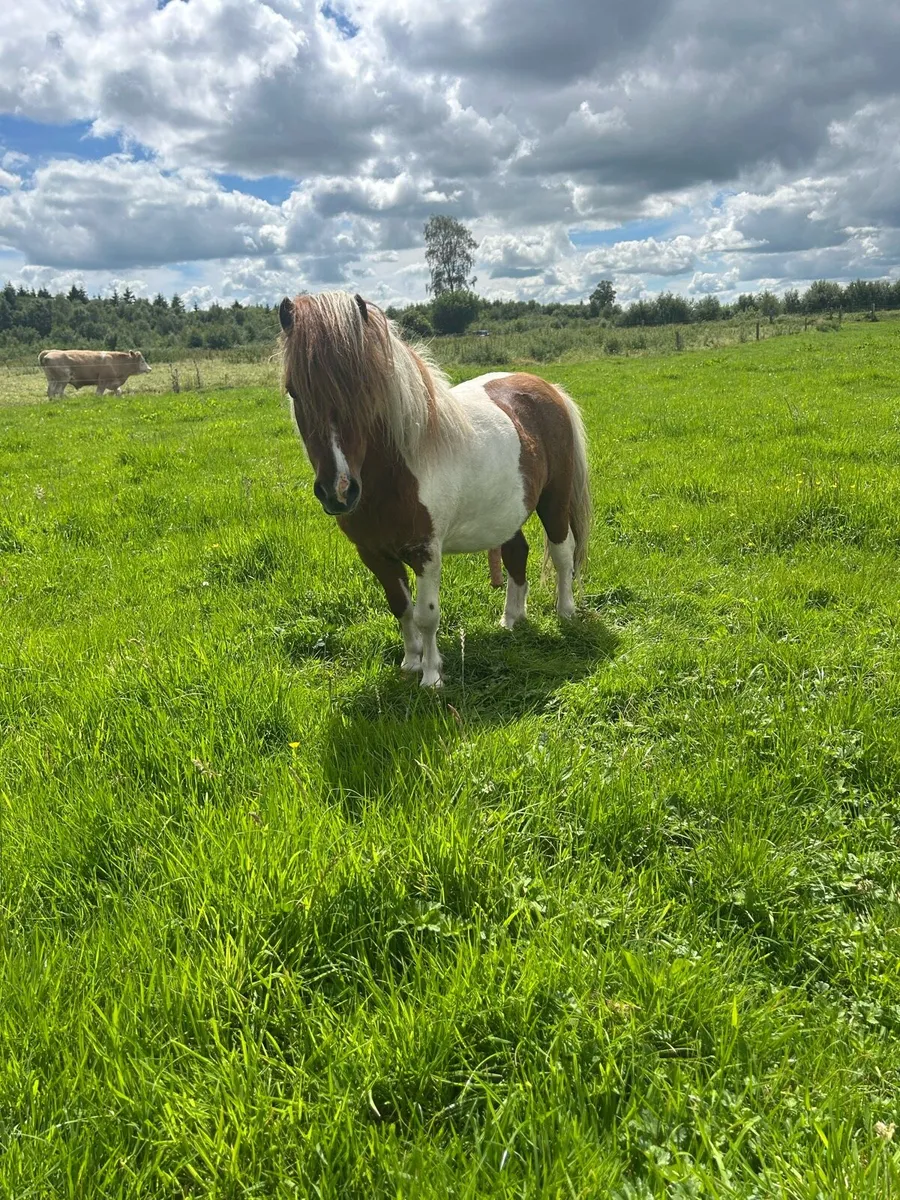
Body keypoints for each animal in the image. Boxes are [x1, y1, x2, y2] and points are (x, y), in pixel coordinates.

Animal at [279, 291, 592, 688]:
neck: (396, 472)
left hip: (555, 499)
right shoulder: (374, 554)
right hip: (507, 510)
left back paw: (565, 612)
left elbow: (426, 615)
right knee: (516, 552)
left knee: (563, 551)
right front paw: (411, 663)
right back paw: (511, 619)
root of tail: (549, 389)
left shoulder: (425, 552)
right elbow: (401, 609)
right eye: (294, 391)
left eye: (364, 389)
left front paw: (431, 677)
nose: (339, 490)